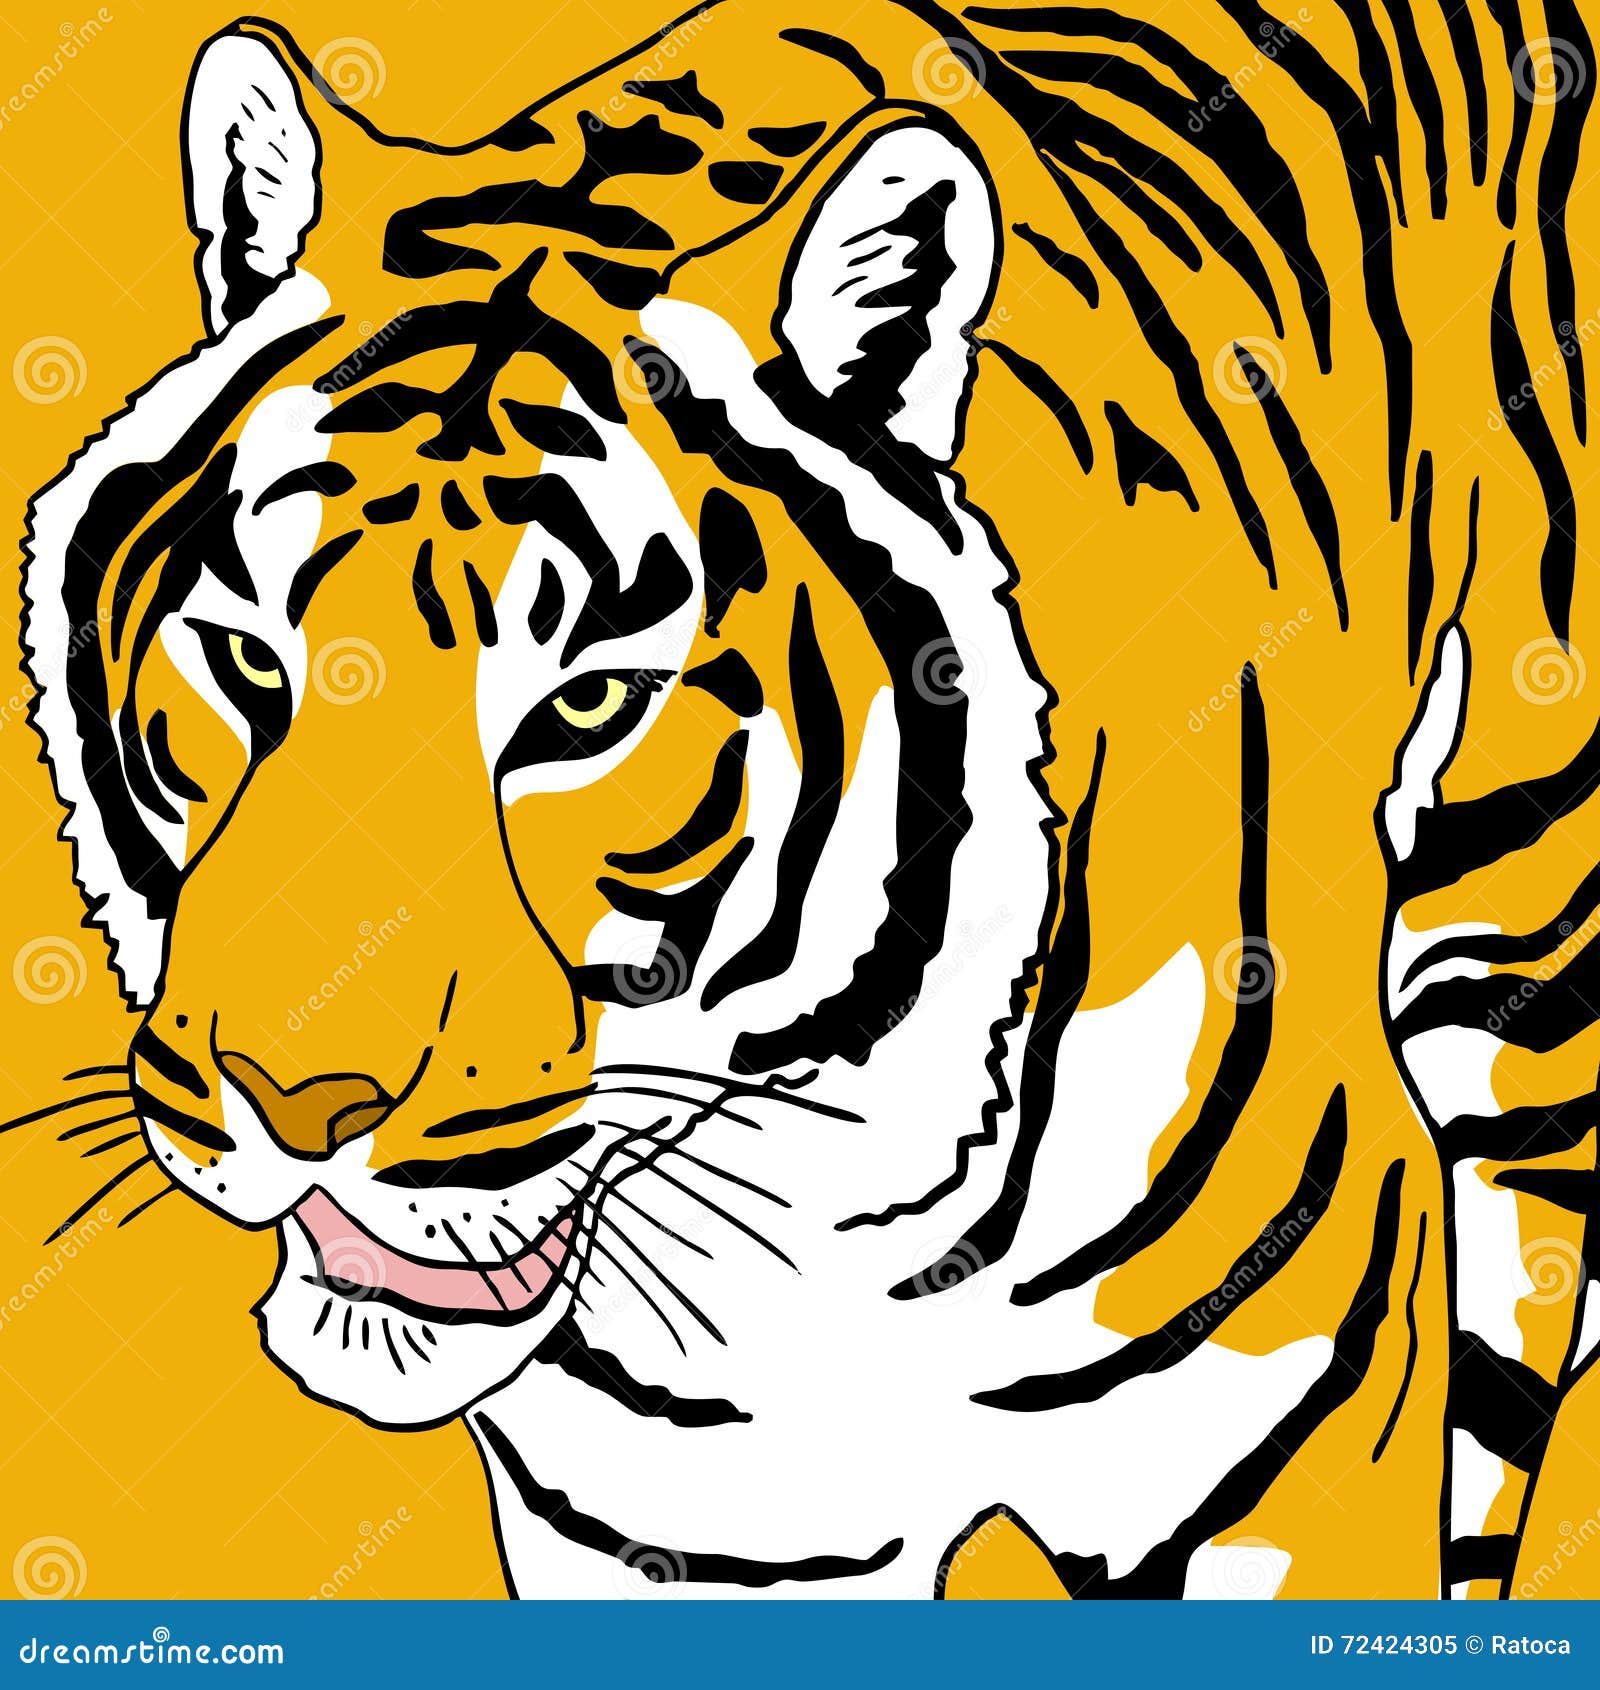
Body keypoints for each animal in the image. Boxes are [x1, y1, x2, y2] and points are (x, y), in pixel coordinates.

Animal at [17, 0, 1600, 1599]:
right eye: (244, 660)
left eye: (588, 706)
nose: (297, 1108)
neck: (822, 1224)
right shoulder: (697, 1533)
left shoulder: (1284, 1439)